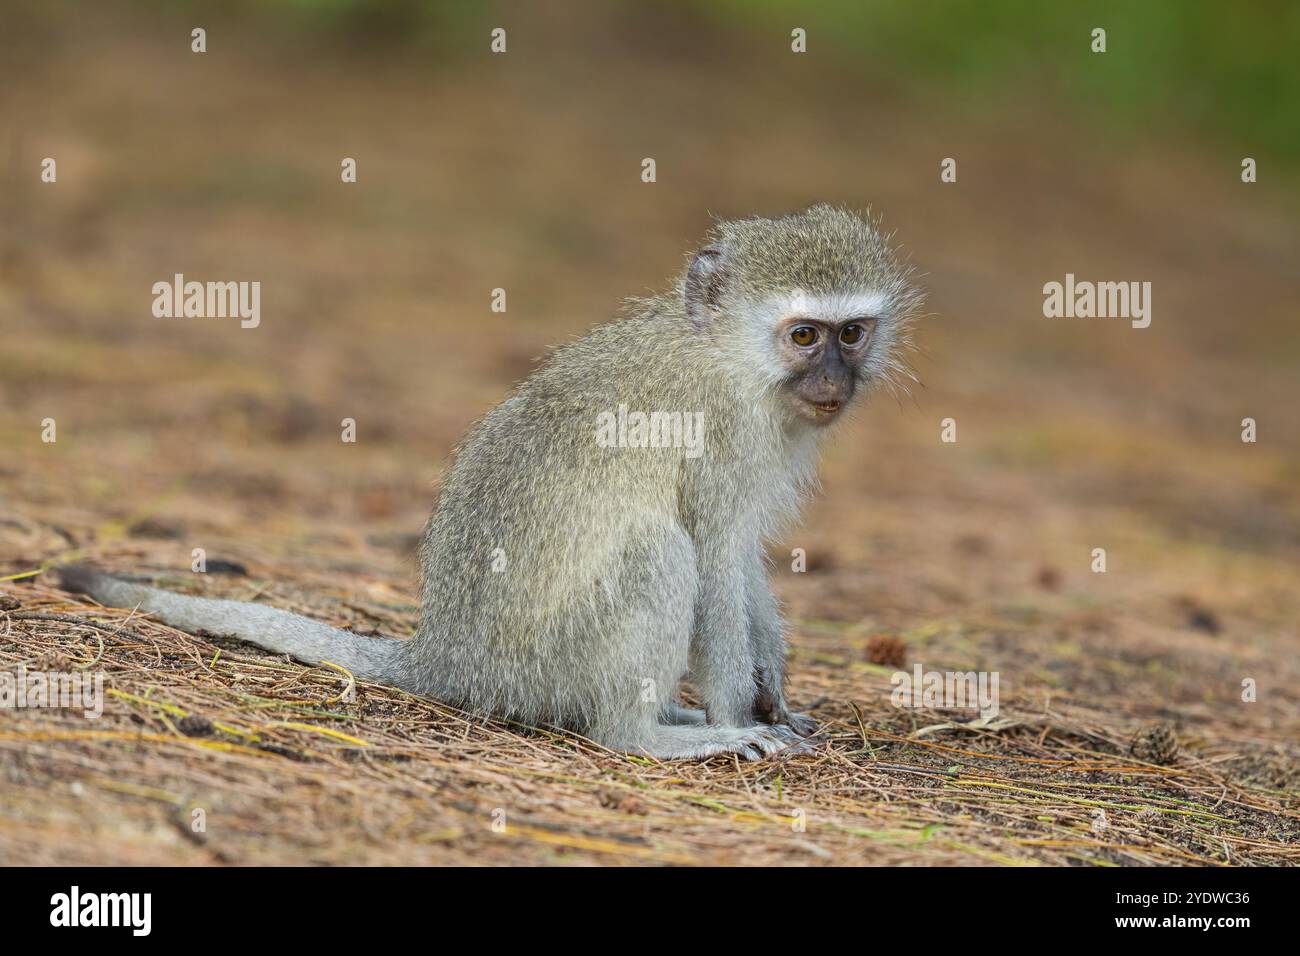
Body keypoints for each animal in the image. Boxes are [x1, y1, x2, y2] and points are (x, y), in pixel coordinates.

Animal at [58, 204, 923, 760]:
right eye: (803, 336)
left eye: (851, 334)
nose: (835, 382)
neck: (731, 361)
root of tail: (449, 659)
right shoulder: (722, 436)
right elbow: (714, 565)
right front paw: (740, 710)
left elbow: (744, 566)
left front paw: (774, 686)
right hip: (542, 661)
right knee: (659, 555)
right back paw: (645, 735)